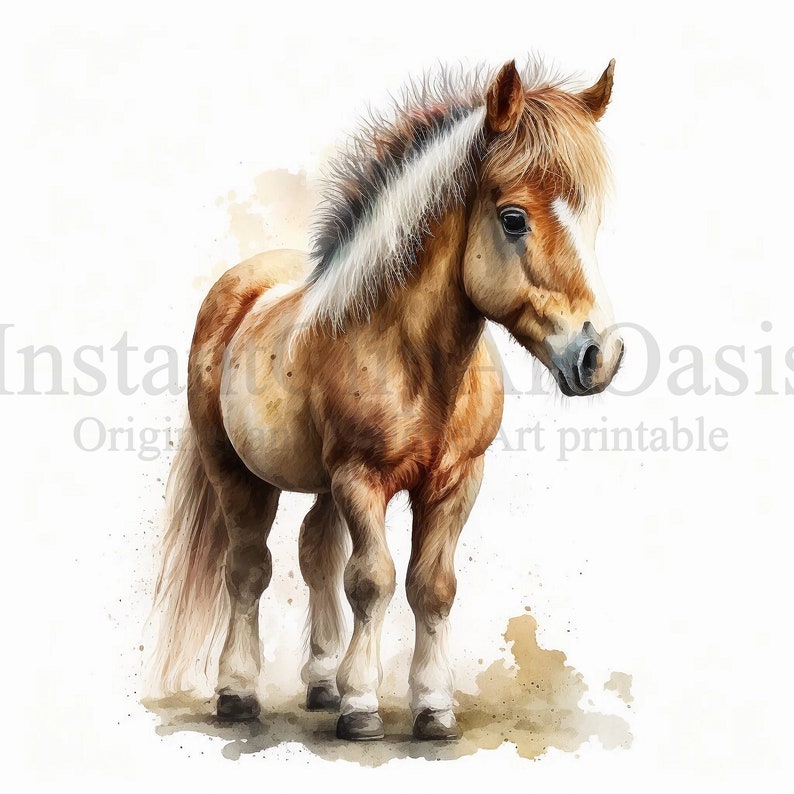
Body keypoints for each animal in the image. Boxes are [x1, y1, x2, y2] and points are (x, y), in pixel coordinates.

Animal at [145, 58, 624, 742]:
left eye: (591, 220)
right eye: (513, 218)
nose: (598, 355)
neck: (415, 358)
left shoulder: (456, 482)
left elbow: (433, 587)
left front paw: (433, 707)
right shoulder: (360, 478)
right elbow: (372, 581)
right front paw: (362, 706)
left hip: (318, 483)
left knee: (314, 555)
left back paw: (320, 683)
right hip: (237, 471)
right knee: (248, 568)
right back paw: (238, 692)